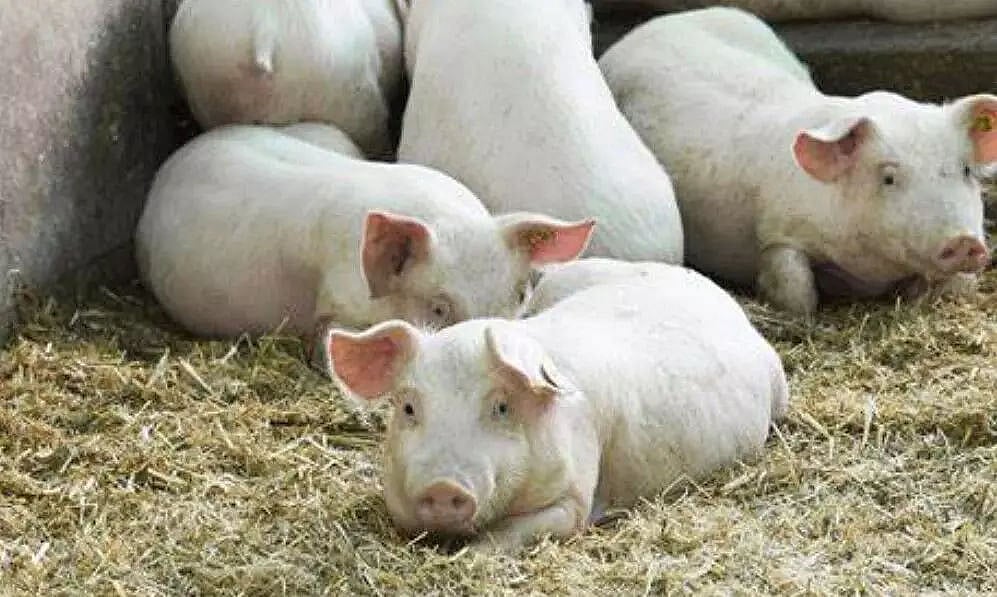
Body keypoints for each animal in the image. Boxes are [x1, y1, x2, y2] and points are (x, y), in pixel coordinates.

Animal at [326, 272, 788, 551]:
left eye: (501, 407)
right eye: (408, 407)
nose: (444, 486)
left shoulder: (574, 496)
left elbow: (521, 532)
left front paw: (474, 552)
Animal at [599, 8, 996, 316]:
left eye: (965, 171)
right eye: (888, 177)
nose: (964, 240)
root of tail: (656, 23)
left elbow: (960, 283)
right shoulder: (777, 232)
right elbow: (794, 286)